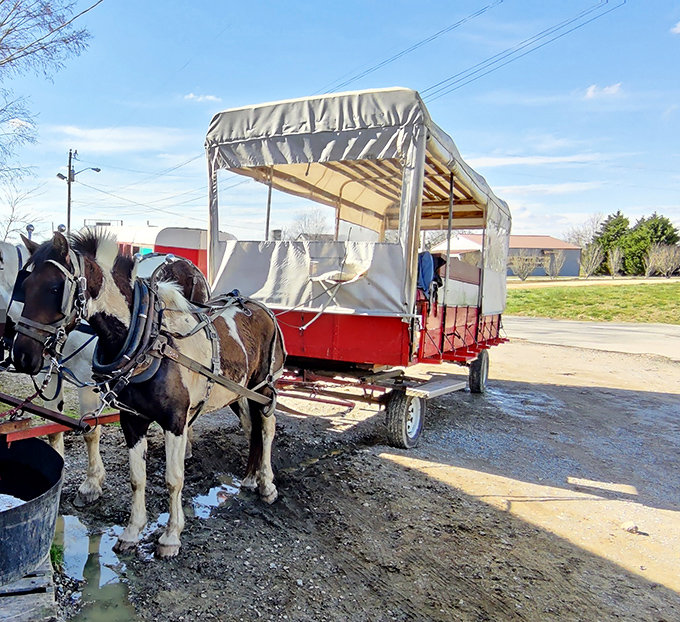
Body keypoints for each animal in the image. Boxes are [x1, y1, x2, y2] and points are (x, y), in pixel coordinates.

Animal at [0, 240, 105, 506]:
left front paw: (91, 484)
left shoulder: (89, 380)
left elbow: (91, 431)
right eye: (25, 286)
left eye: (57, 290)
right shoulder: (48, 373)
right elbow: (53, 427)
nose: (21, 356)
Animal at [13, 229, 286, 557]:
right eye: (24, 285)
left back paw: (267, 485)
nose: (22, 355)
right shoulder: (132, 420)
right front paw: (132, 531)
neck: (148, 340)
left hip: (264, 386)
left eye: (55, 288)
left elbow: (174, 479)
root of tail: (259, 307)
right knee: (251, 426)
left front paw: (171, 536)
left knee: (267, 428)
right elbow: (136, 477)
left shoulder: (174, 422)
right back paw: (249, 478)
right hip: (241, 391)